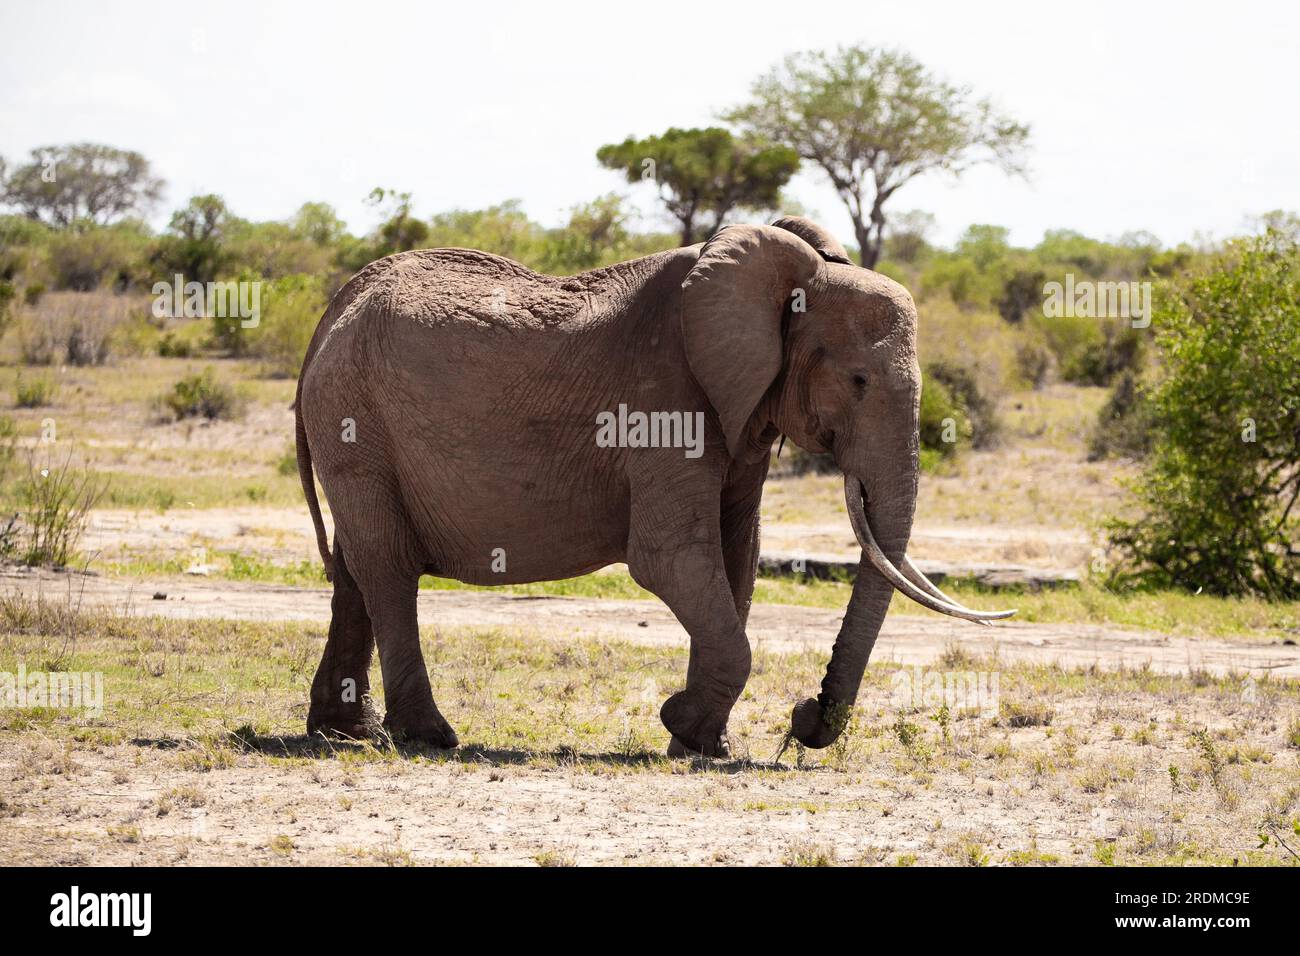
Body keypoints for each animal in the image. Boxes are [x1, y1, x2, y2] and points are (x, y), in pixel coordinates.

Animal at [294, 216, 1013, 757]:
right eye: (859, 381)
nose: (804, 718)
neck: (787, 279)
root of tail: (335, 306)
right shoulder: (666, 398)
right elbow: (671, 558)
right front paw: (682, 725)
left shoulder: (739, 413)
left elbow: (737, 556)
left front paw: (701, 745)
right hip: (354, 419)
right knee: (388, 567)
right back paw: (429, 737)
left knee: (356, 569)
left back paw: (344, 733)